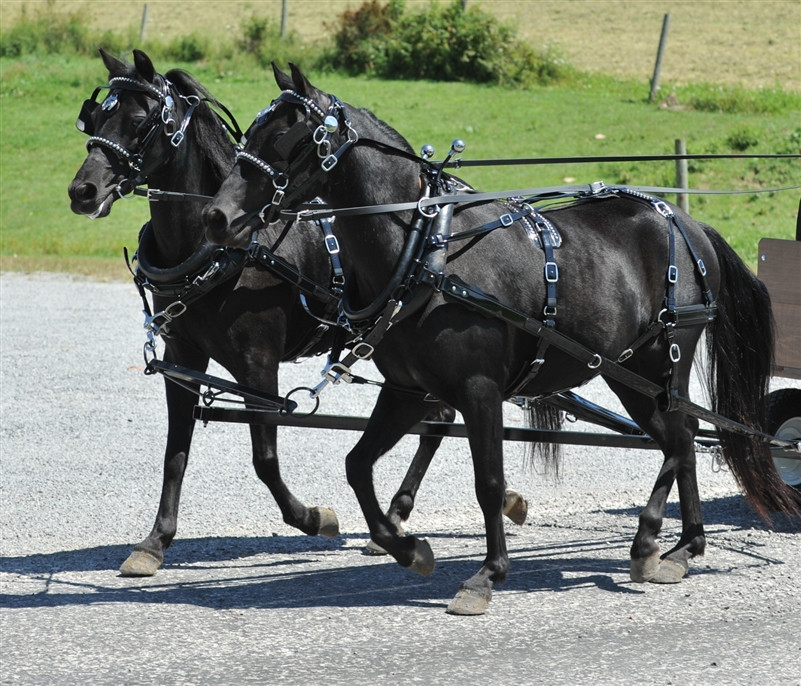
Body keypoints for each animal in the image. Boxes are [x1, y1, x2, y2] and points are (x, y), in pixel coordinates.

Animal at [68, 50, 527, 577]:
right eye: (95, 118)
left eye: (140, 121)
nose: (82, 191)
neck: (227, 250)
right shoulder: (182, 356)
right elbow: (175, 452)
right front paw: (155, 541)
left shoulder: (257, 360)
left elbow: (265, 458)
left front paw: (313, 517)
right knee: (440, 413)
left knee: (441, 413)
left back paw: (407, 514)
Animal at [202, 63, 800, 615]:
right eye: (248, 133)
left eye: (289, 140)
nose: (216, 216)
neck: (427, 251)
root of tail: (686, 222)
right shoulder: (405, 390)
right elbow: (356, 464)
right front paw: (409, 548)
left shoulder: (479, 390)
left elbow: (488, 482)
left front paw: (486, 575)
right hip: (627, 371)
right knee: (683, 438)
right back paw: (681, 547)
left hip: (661, 361)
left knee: (679, 437)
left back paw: (652, 539)